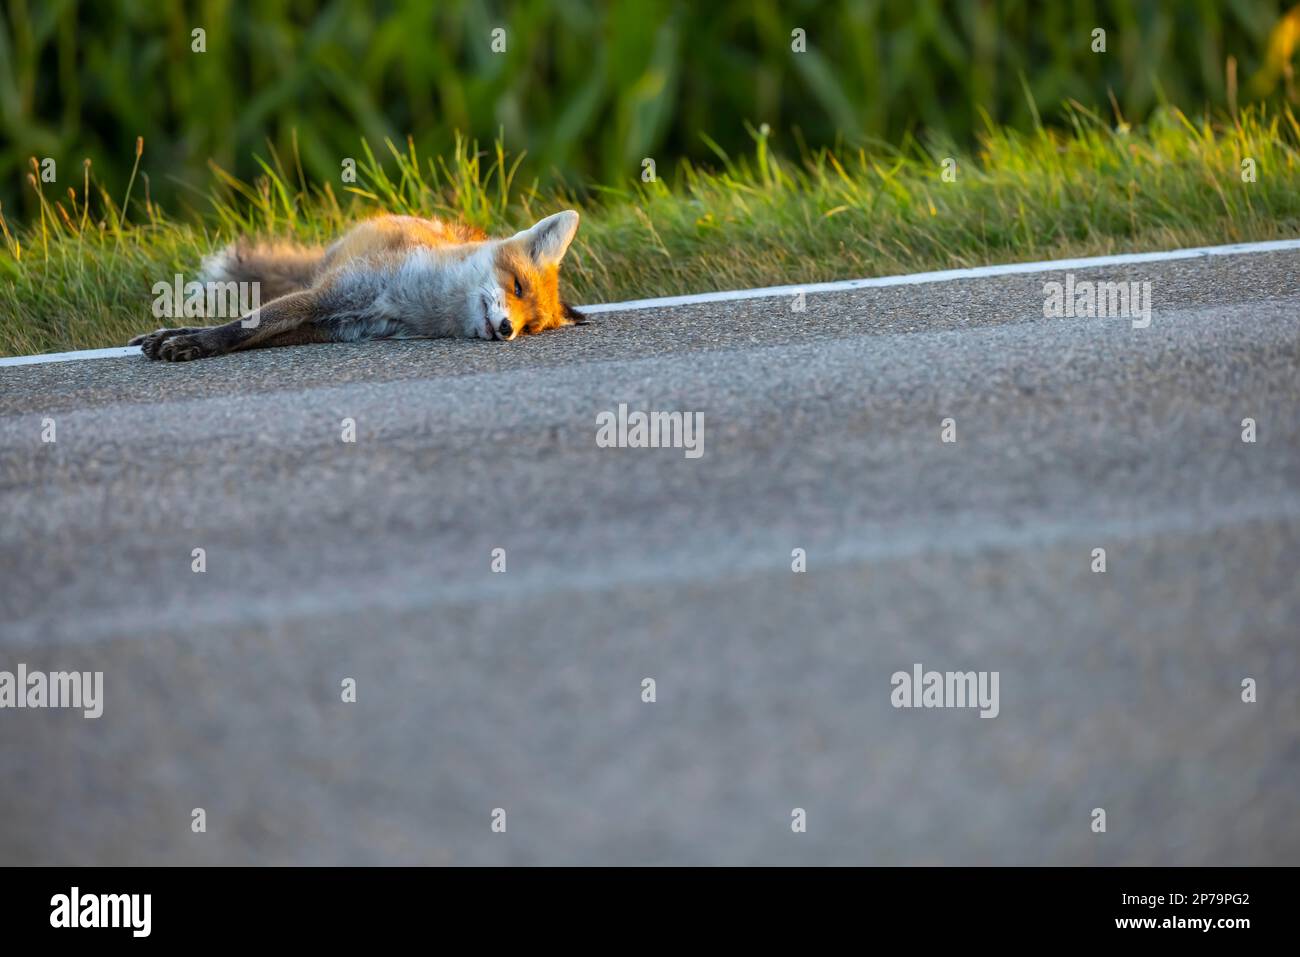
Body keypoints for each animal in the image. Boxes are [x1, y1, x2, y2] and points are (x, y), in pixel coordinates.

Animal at [130, 210, 586, 361]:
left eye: (530, 326)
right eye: (518, 287)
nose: (507, 329)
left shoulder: (334, 327)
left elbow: (254, 333)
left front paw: (181, 341)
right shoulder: (320, 298)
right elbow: (241, 326)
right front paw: (193, 343)